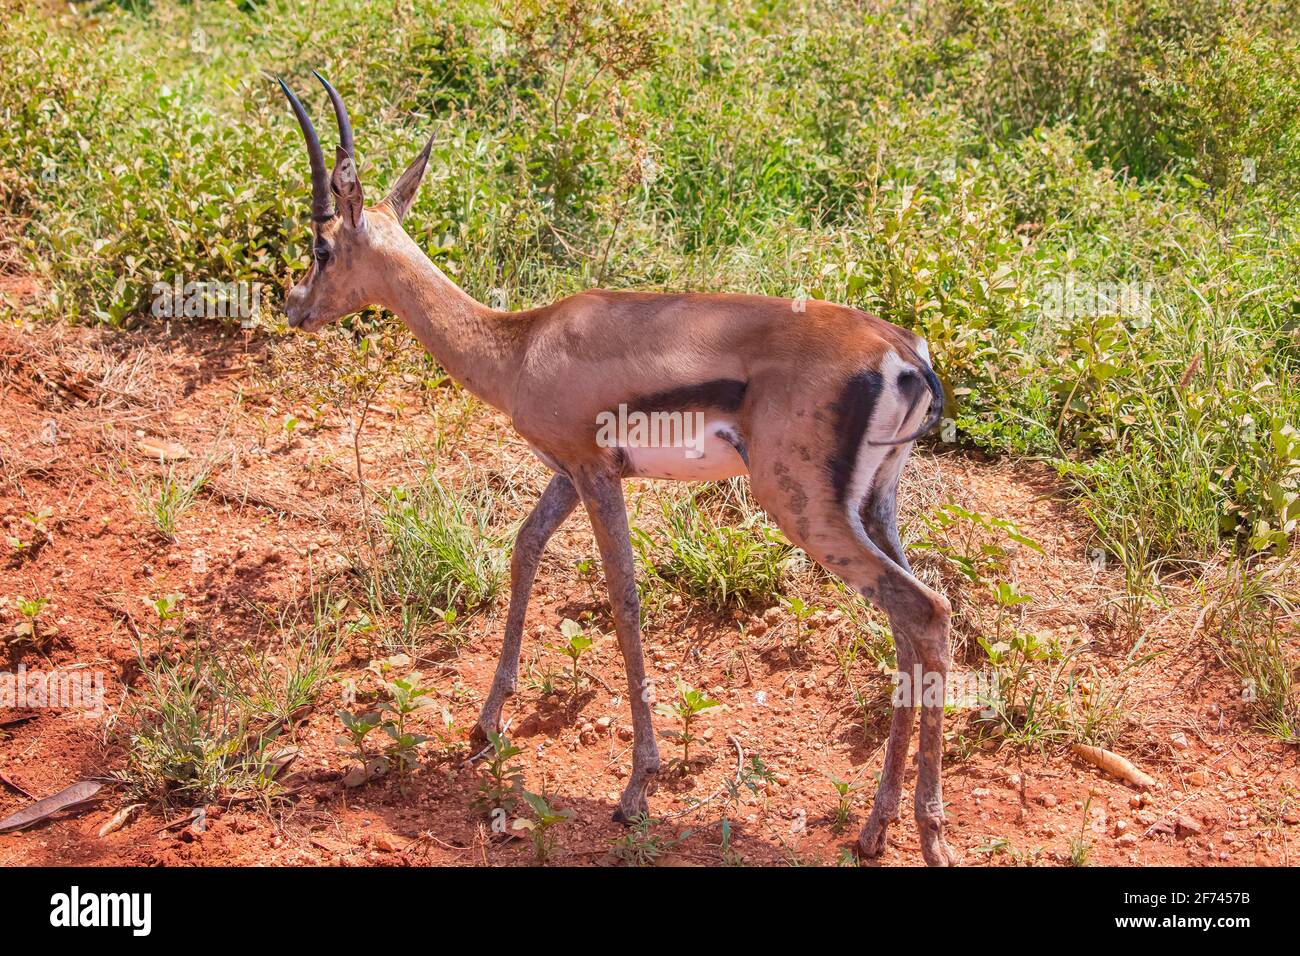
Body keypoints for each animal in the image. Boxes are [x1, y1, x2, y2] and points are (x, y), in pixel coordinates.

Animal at [276, 74, 955, 865]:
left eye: (322, 245)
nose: (294, 305)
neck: (520, 346)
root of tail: (903, 354)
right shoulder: (566, 475)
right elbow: (524, 550)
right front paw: (485, 726)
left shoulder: (594, 473)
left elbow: (623, 599)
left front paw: (636, 787)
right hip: (875, 505)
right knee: (911, 627)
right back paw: (876, 829)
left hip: (801, 507)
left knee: (926, 612)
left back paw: (927, 835)